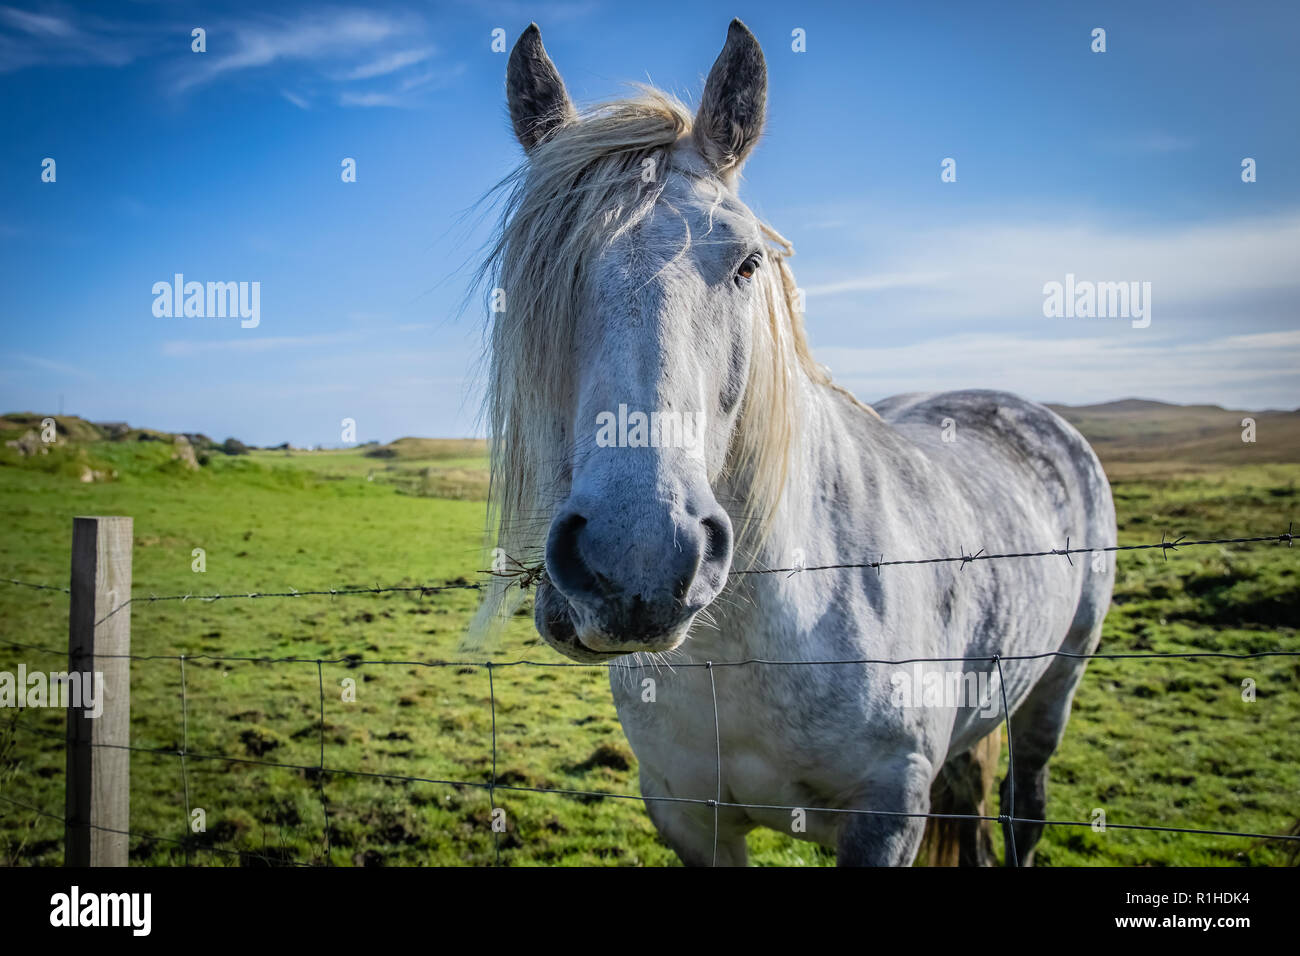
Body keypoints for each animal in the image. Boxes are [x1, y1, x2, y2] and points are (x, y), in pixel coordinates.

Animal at [474, 19, 1116, 866]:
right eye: (539, 274)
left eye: (747, 264)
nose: (637, 559)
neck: (751, 642)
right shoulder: (688, 815)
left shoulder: (887, 814)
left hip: (1057, 685)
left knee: (1026, 805)